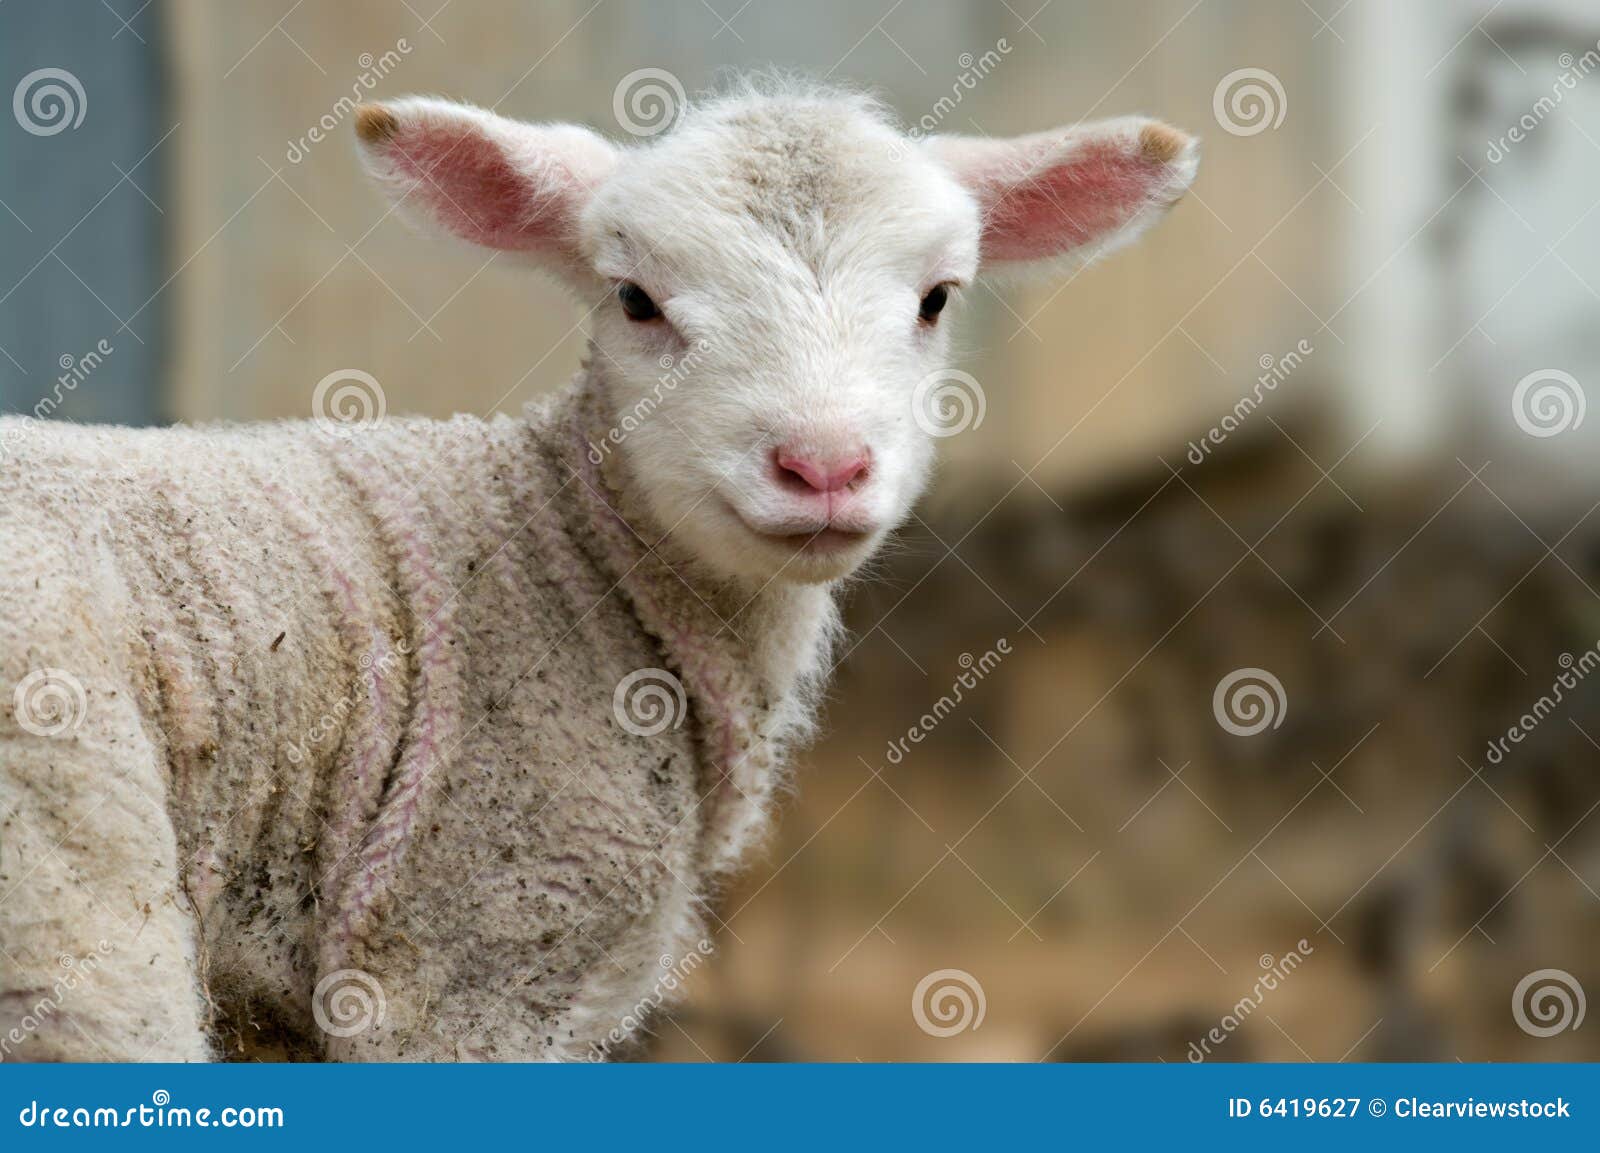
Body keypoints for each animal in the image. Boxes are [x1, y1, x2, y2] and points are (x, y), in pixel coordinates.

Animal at [0, 81, 1197, 1061]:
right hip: (69, 889)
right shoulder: (469, 940)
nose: (822, 466)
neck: (559, 558)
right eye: (636, 301)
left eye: (937, 298)